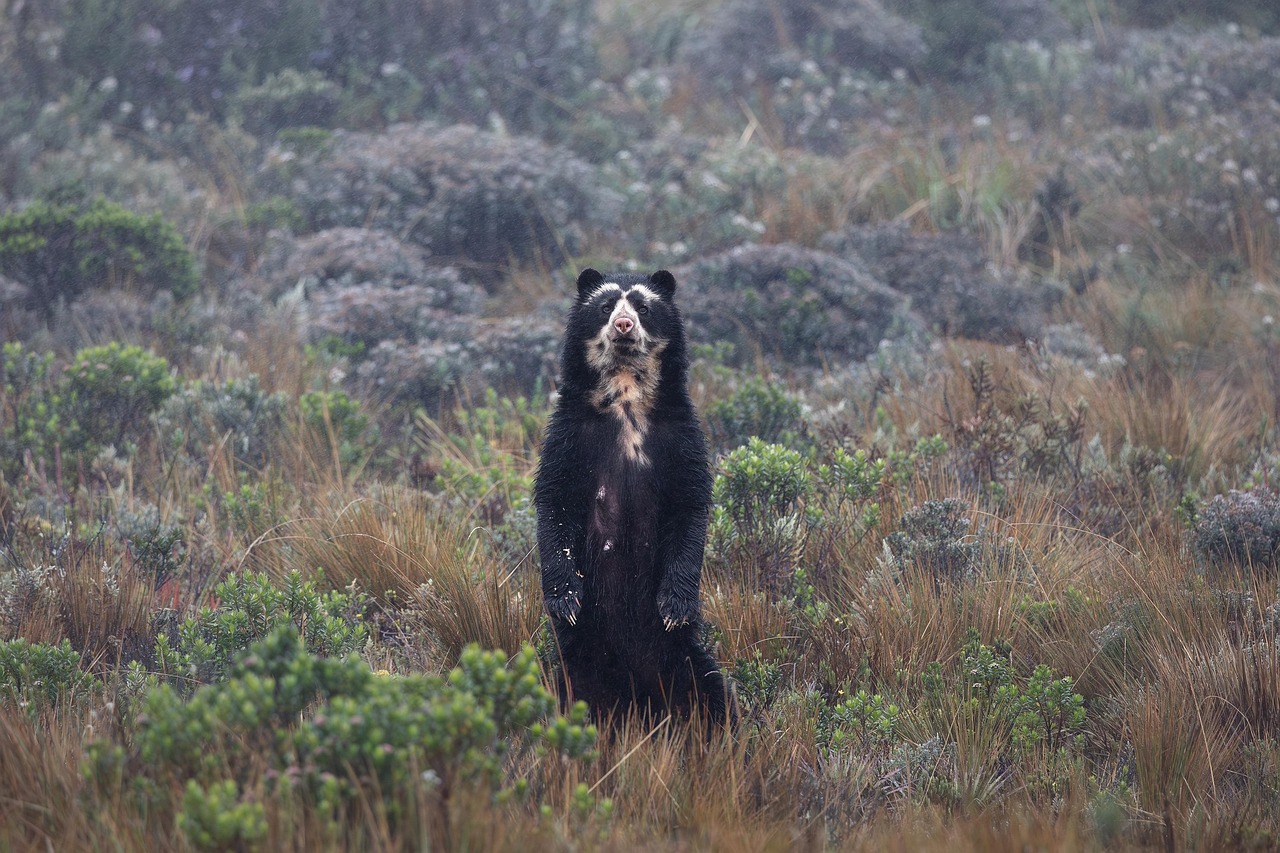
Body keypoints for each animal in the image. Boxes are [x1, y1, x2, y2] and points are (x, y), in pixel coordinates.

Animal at [534, 267, 735, 728]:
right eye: (606, 305)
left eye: (643, 307)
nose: (624, 326)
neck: (625, 397)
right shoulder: (569, 435)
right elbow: (554, 501)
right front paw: (566, 599)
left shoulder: (680, 436)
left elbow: (690, 506)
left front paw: (675, 606)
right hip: (579, 666)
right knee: (575, 700)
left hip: (686, 661)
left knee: (712, 695)